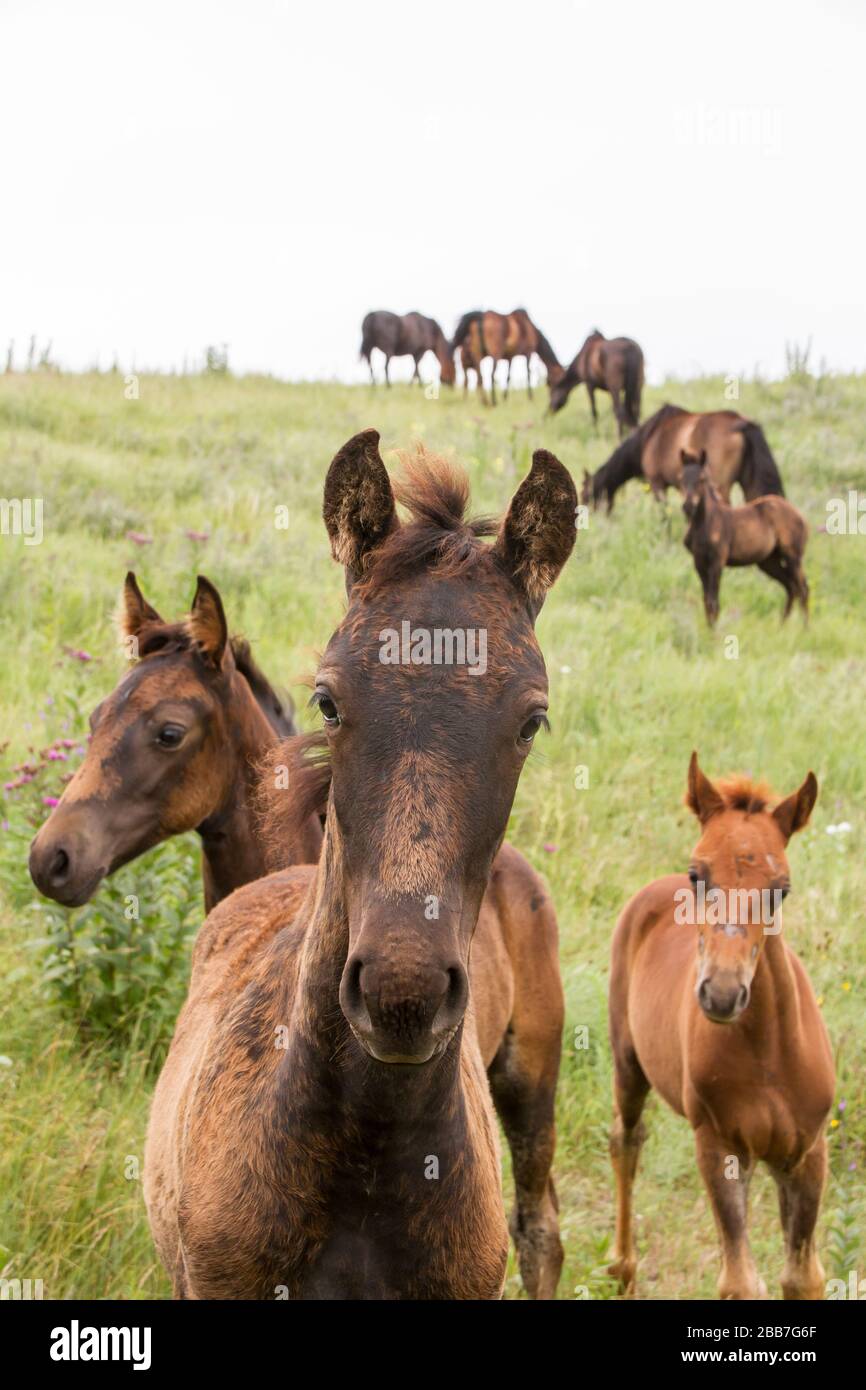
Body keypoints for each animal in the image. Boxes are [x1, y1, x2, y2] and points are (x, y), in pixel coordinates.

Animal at [144, 430, 578, 1300]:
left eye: (532, 721)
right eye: (328, 701)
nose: (402, 993)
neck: (370, 1147)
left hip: (535, 1081)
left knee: (542, 1225)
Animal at [581, 404, 786, 512]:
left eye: (585, 495)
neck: (648, 438)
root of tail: (741, 424)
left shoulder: (657, 483)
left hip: (721, 486)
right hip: (750, 483)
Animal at [607, 753, 833, 1300]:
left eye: (781, 890)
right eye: (698, 874)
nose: (723, 993)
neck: (770, 1056)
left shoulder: (808, 1154)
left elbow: (803, 1276)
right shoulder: (719, 1148)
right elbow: (740, 1280)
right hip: (627, 1061)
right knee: (627, 1139)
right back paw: (623, 1268)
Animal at [681, 449, 809, 626]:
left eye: (702, 479)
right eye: (681, 478)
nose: (688, 506)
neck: (706, 522)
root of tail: (801, 517)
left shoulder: (717, 562)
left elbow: (714, 602)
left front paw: (714, 632)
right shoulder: (699, 562)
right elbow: (707, 601)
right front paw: (708, 629)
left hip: (793, 557)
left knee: (803, 589)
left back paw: (806, 629)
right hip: (769, 561)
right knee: (791, 587)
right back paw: (781, 627)